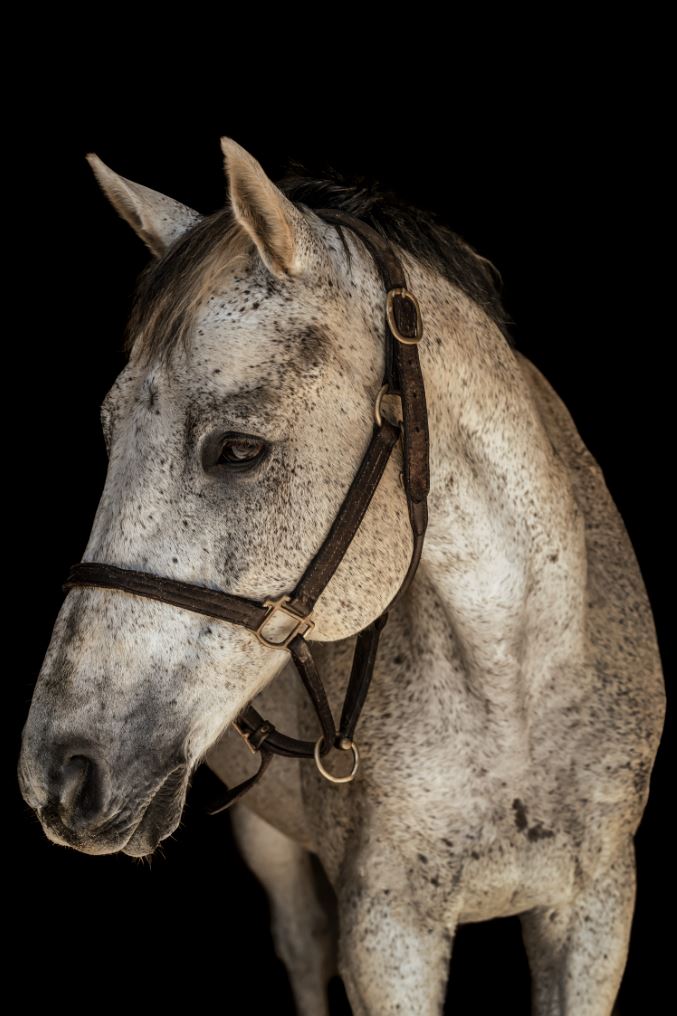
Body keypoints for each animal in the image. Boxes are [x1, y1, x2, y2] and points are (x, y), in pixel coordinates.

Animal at [18, 136, 665, 1015]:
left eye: (239, 449)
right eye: (110, 433)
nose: (61, 772)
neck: (514, 687)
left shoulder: (595, 909)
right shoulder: (386, 936)